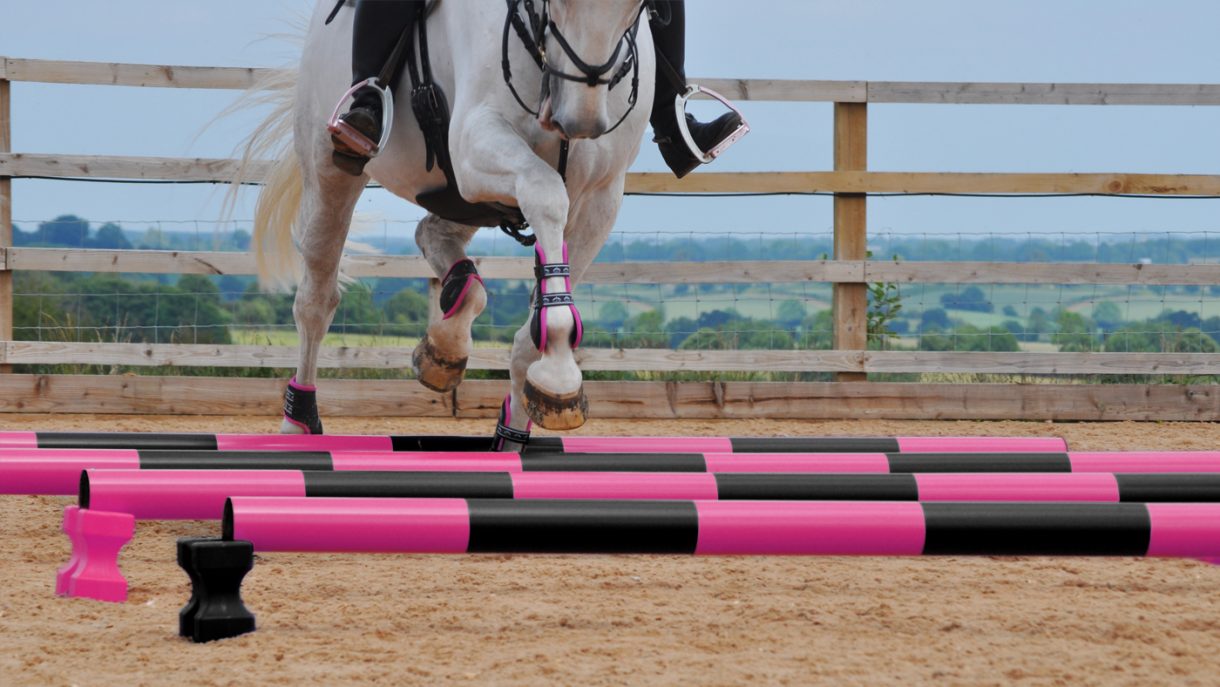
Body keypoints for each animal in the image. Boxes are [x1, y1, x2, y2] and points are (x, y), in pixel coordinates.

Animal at [243, 0, 655, 448]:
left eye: (637, 9)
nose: (580, 120)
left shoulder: (601, 194)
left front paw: (538, 400)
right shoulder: (475, 141)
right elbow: (545, 193)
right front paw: (560, 374)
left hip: (467, 197)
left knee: (434, 236)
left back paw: (448, 339)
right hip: (331, 168)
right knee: (316, 300)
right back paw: (299, 420)